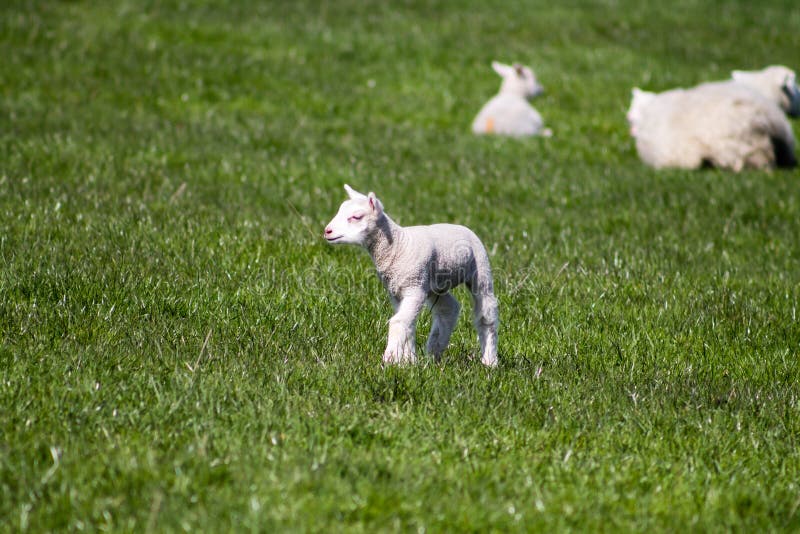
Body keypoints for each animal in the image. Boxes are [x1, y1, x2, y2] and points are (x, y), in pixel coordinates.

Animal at [324, 184, 499, 367]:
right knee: (449, 308)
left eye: (356, 217)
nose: (327, 231)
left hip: (480, 267)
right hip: (434, 285)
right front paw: (409, 359)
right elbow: (408, 323)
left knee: (487, 314)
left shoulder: (414, 288)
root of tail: (462, 227)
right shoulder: (396, 291)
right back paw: (434, 352)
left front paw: (390, 359)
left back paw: (489, 360)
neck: (397, 245)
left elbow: (398, 321)